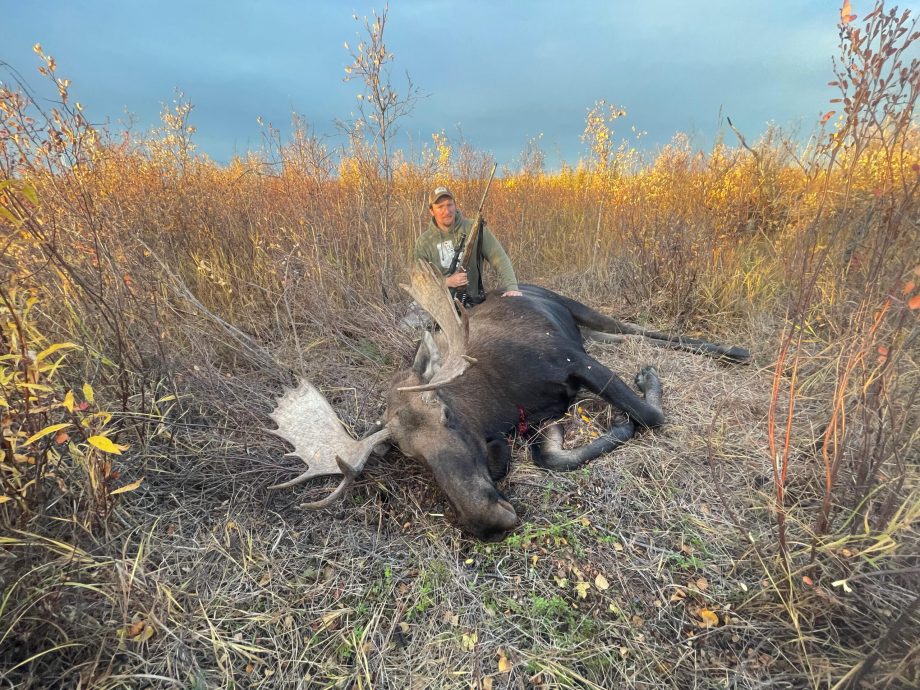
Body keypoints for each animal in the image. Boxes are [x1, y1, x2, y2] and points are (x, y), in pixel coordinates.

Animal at [268, 261, 750, 541]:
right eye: (410, 455)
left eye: (447, 413)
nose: (487, 520)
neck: (499, 403)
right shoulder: (539, 417)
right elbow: (553, 457)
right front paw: (613, 424)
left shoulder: (572, 359)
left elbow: (650, 413)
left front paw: (638, 396)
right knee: (625, 336)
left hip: (579, 310)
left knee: (638, 329)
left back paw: (734, 350)